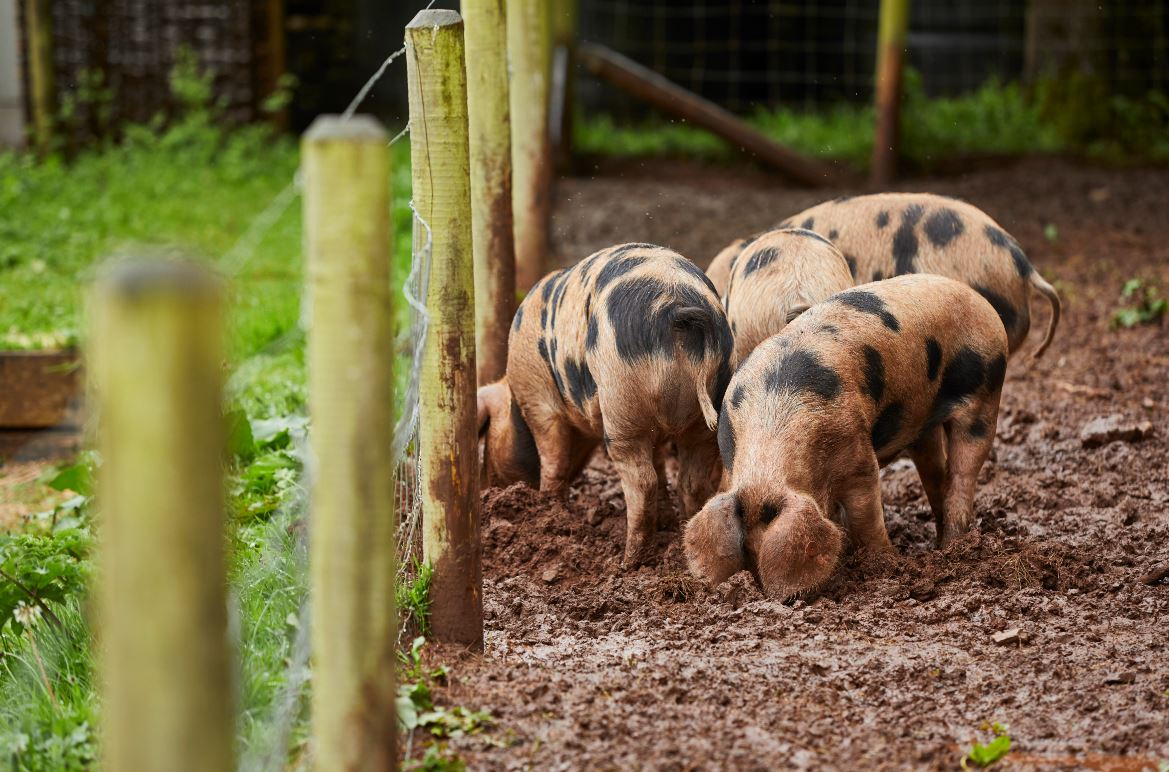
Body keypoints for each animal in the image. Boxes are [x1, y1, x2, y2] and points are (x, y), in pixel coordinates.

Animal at [478, 243, 733, 566]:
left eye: (487, 437)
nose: (488, 486)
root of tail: (677, 309)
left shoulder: (539, 400)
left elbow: (553, 459)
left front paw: (548, 506)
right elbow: (660, 463)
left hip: (621, 400)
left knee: (642, 480)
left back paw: (627, 561)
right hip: (707, 407)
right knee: (691, 480)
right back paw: (685, 537)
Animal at [684, 274, 1009, 600]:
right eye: (748, 555)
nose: (764, 593)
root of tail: (979, 301)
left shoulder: (859, 457)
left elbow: (867, 517)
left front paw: (888, 563)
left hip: (985, 393)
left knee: (963, 471)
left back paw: (951, 546)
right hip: (921, 422)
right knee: (936, 471)